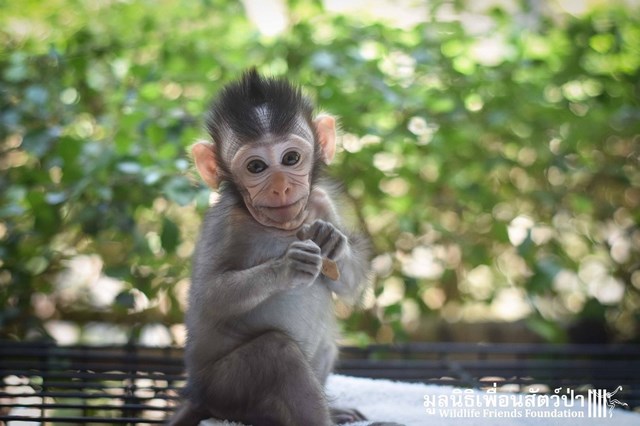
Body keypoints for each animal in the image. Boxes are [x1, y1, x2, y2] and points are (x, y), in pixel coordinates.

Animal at [169, 69, 373, 426]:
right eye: (256, 167)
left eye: (290, 159)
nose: (281, 188)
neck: (280, 228)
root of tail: (198, 396)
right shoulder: (224, 224)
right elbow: (209, 296)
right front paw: (288, 267)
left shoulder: (321, 202)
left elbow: (351, 287)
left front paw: (334, 242)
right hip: (224, 389)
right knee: (279, 354)